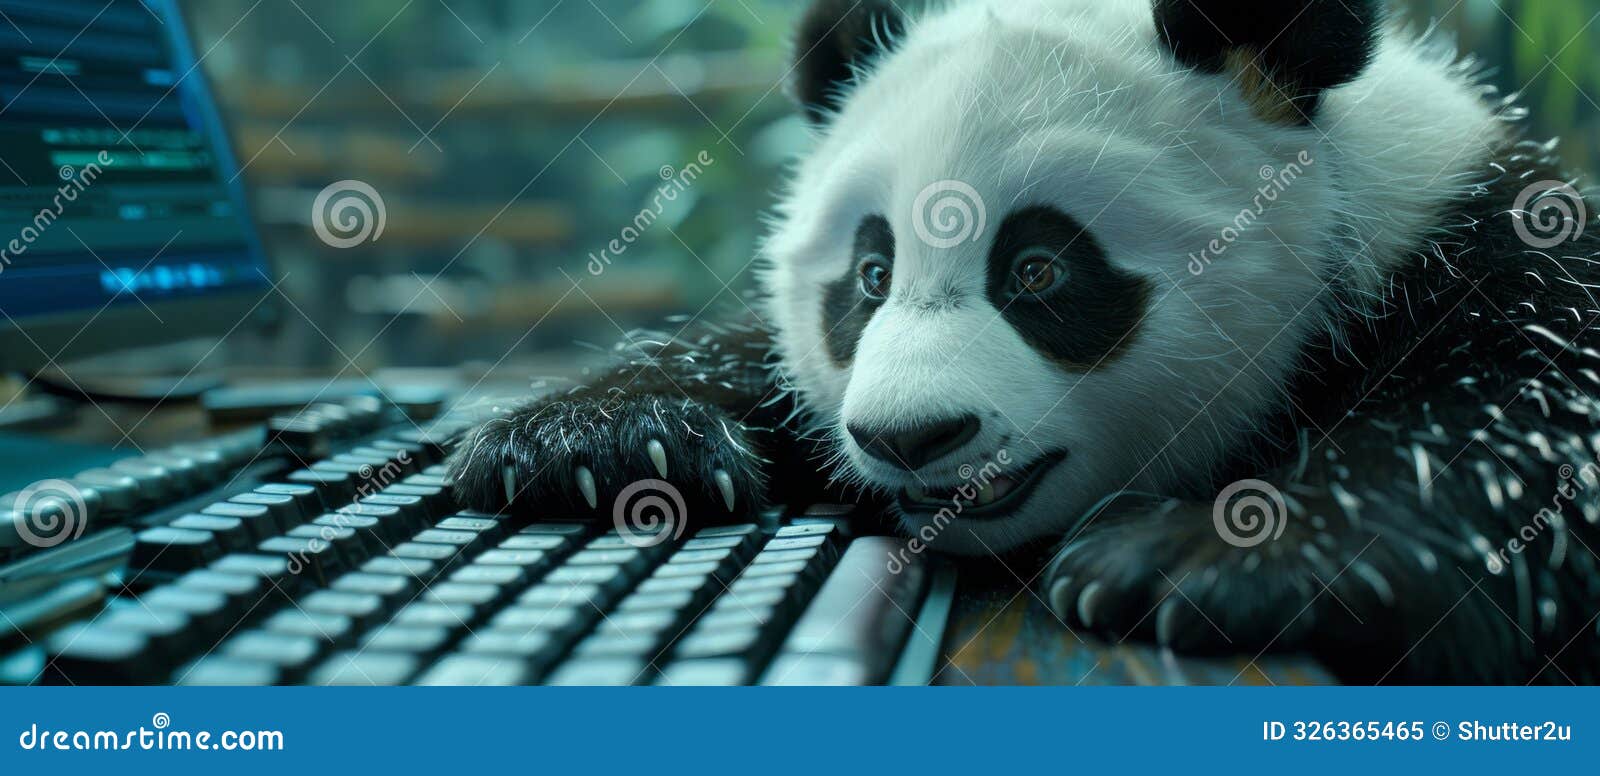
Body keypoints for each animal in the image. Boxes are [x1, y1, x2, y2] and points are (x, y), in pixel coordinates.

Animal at [449, 0, 1600, 684]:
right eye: (870, 277)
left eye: (1038, 270)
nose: (909, 438)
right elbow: (741, 356)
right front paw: (598, 442)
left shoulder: (1503, 254)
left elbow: (1521, 422)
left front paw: (1206, 556)